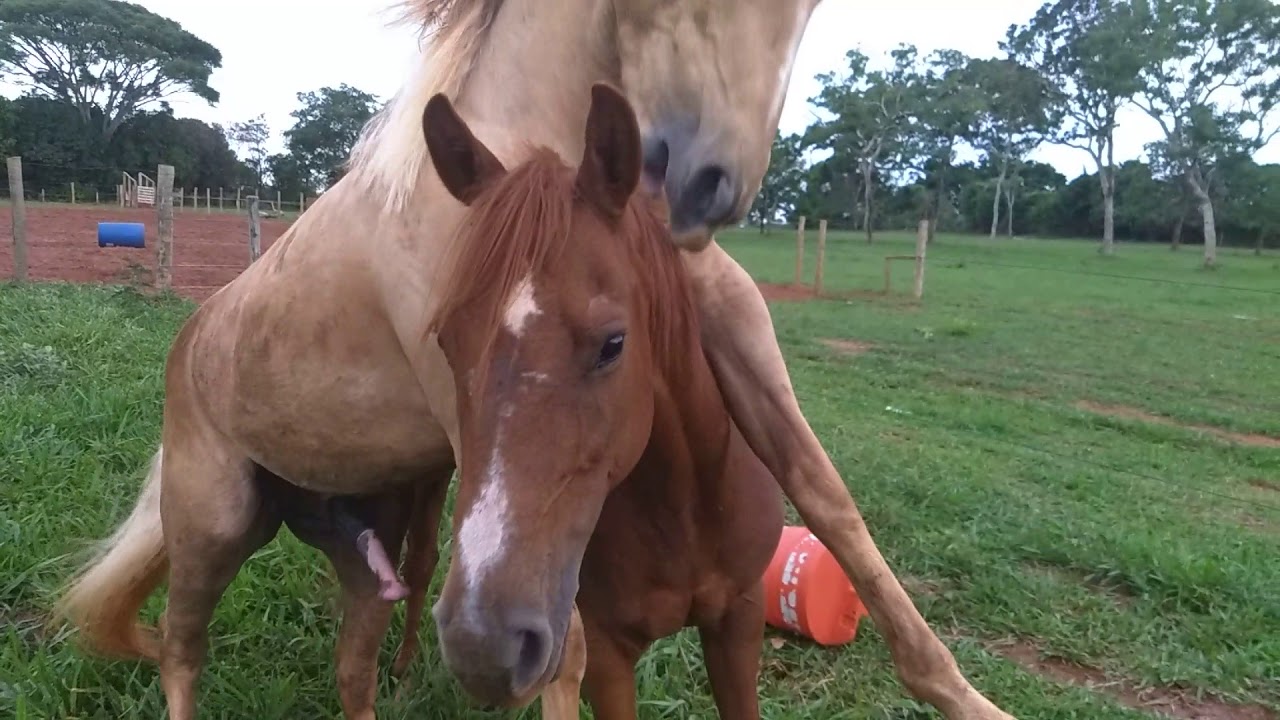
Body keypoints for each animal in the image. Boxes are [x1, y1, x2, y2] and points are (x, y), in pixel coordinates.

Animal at [52, 0, 1012, 717]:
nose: (704, 185)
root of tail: (191, 337)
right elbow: (573, 639)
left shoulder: (729, 337)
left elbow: (835, 509)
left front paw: (967, 698)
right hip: (213, 529)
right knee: (182, 652)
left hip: (364, 557)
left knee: (356, 667)